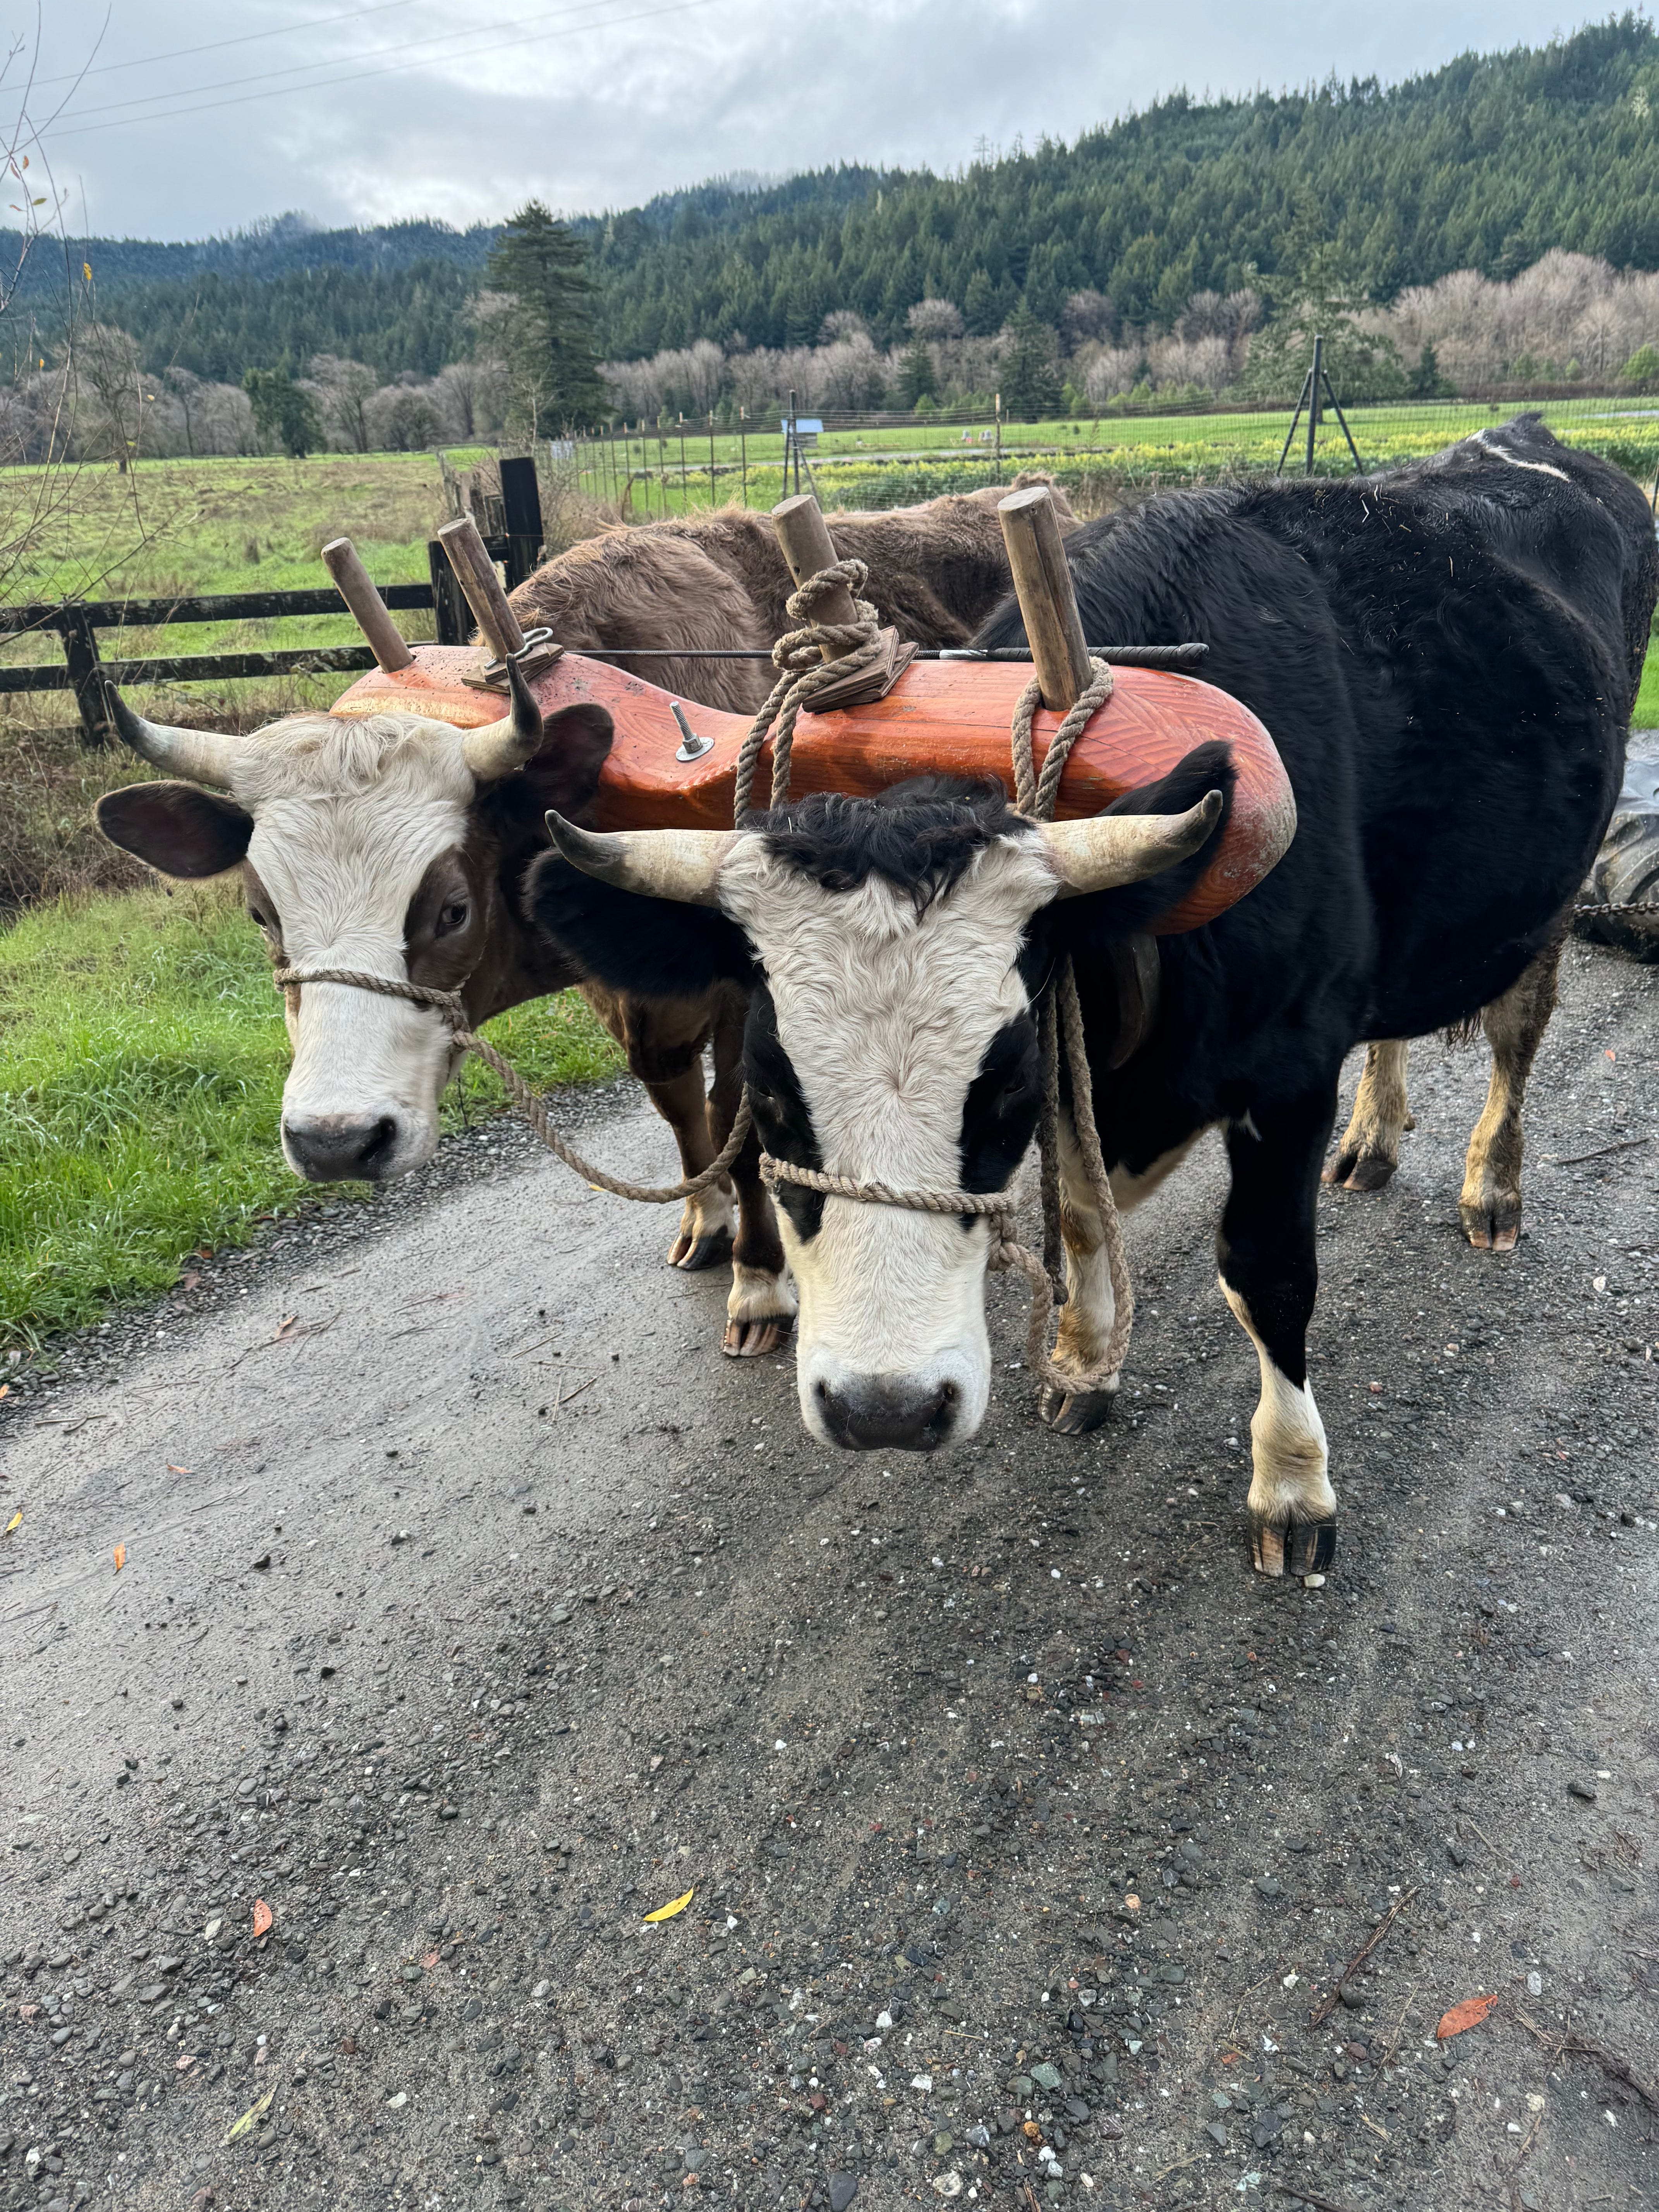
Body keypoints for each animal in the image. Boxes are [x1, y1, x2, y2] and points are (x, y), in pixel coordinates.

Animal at [92, 486, 1066, 1356]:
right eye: (262, 912)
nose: (334, 1141)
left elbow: (740, 1118)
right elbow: (677, 1105)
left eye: (452, 909)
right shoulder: (628, 997)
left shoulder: (749, 978)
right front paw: (704, 1219)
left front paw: (758, 1280)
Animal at [522, 417, 1657, 1575]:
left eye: (1005, 1084)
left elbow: (1267, 1271)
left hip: (1551, 888)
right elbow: (1074, 1211)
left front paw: (1293, 1484)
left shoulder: (1287, 1069)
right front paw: (1080, 1358)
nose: (885, 1410)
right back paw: (1373, 1139)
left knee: (1518, 1030)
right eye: (767, 1091)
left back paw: (1493, 1187)